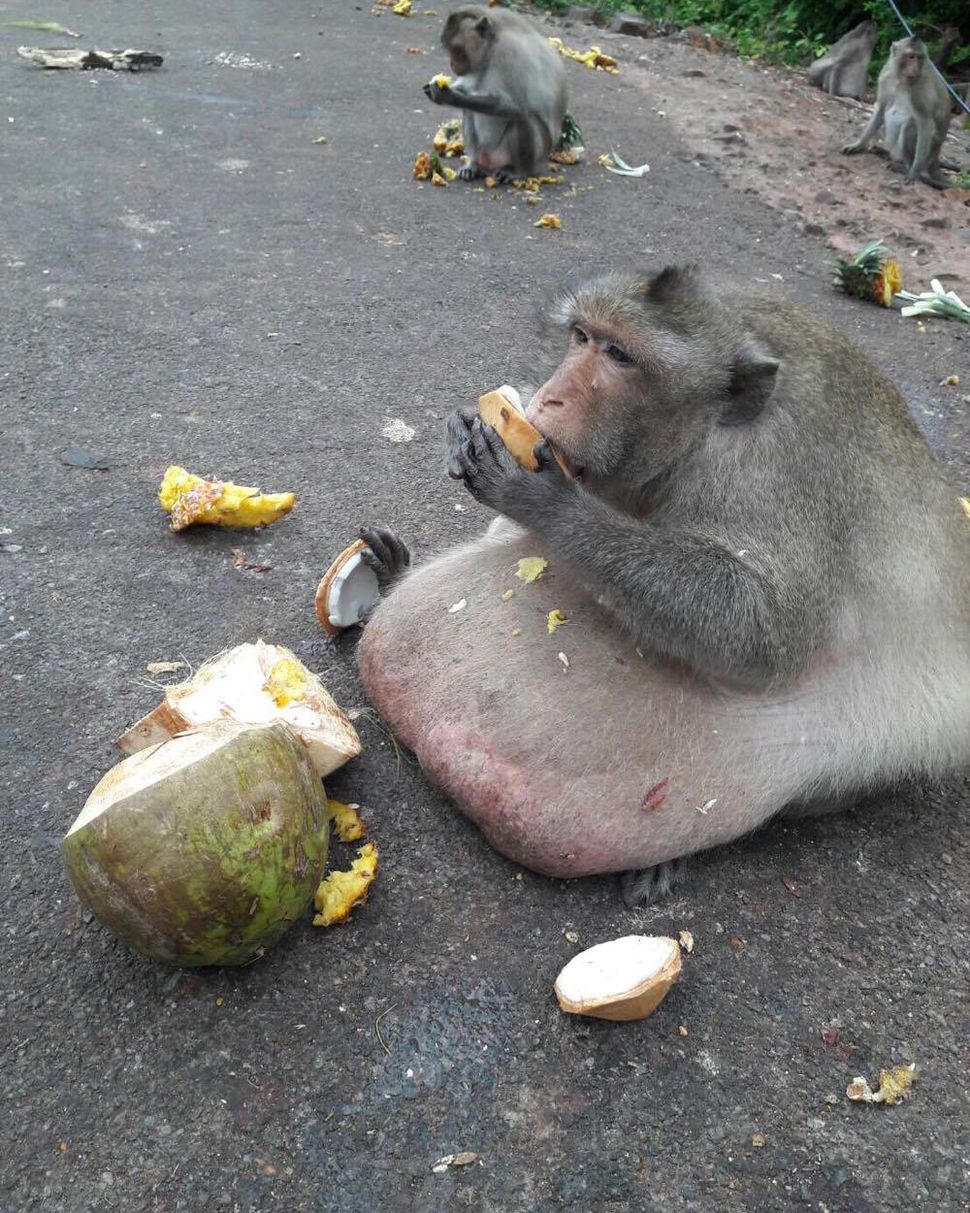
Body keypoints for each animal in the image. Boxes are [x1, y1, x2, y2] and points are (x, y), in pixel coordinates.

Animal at [357, 265, 970, 906]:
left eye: (620, 356)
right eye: (582, 337)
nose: (549, 397)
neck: (703, 436)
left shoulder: (776, 470)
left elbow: (764, 635)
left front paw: (546, 502)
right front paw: (463, 432)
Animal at [423, 5, 567, 182]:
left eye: (456, 49)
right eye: (450, 49)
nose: (452, 64)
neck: (491, 47)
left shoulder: (509, 53)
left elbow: (516, 106)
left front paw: (449, 97)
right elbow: (467, 87)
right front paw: (437, 89)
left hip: (532, 158)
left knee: (522, 117)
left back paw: (515, 170)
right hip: (485, 152)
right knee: (469, 111)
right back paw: (474, 164)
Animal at [843, 36, 952, 188]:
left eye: (919, 58)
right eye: (911, 56)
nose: (915, 68)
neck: (901, 78)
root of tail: (936, 156)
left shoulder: (922, 87)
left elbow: (925, 122)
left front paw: (914, 172)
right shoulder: (886, 75)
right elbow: (881, 109)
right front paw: (858, 145)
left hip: (930, 151)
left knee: (911, 126)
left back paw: (905, 168)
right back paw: (883, 152)